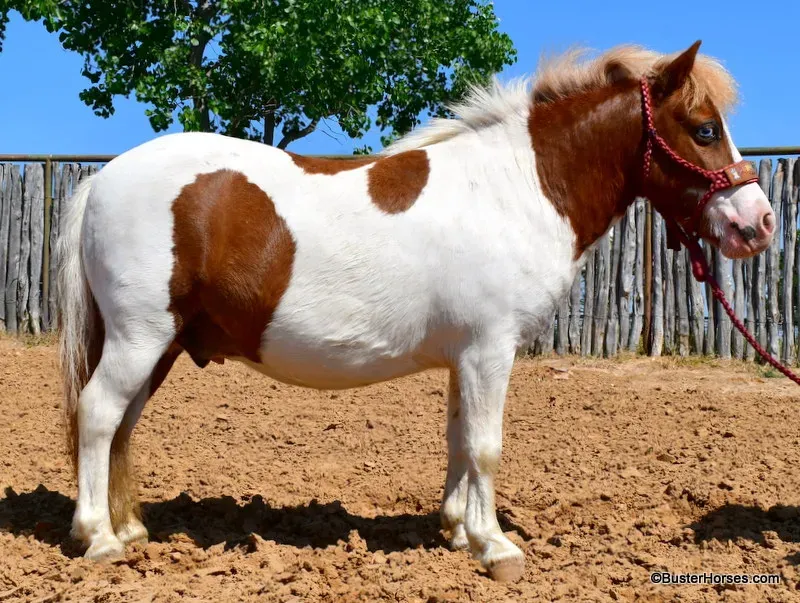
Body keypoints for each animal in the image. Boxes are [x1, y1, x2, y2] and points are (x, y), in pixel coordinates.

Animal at [56, 40, 775, 582]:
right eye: (705, 129)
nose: (760, 223)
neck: (517, 188)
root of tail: (103, 178)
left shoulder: (466, 355)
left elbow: (459, 440)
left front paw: (459, 531)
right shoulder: (490, 348)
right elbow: (486, 445)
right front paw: (498, 548)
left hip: (161, 344)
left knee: (121, 423)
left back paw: (131, 527)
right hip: (140, 337)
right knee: (99, 413)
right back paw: (99, 538)